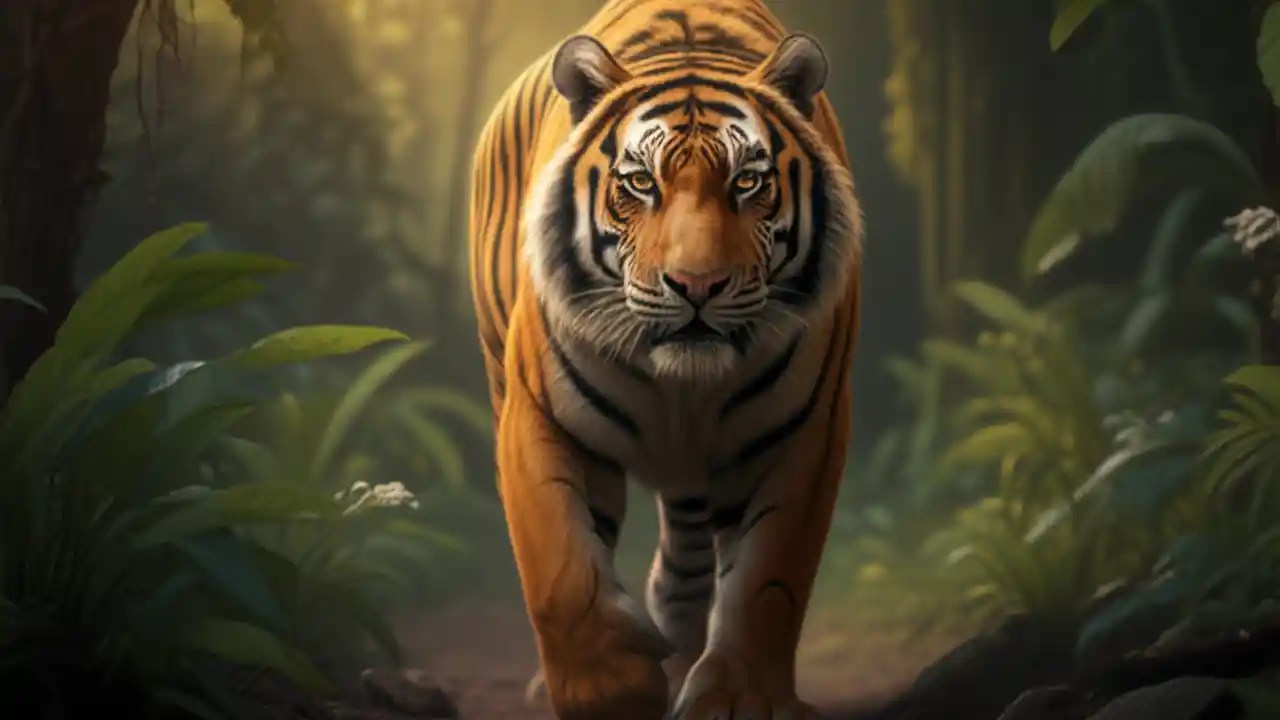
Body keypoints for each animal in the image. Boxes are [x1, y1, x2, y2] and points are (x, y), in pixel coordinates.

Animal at [466, 0, 863, 717]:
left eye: (748, 182)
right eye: (640, 183)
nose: (696, 285)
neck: (684, 386)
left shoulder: (807, 433)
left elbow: (770, 580)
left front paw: (740, 698)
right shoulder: (538, 415)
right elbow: (561, 566)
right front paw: (609, 689)